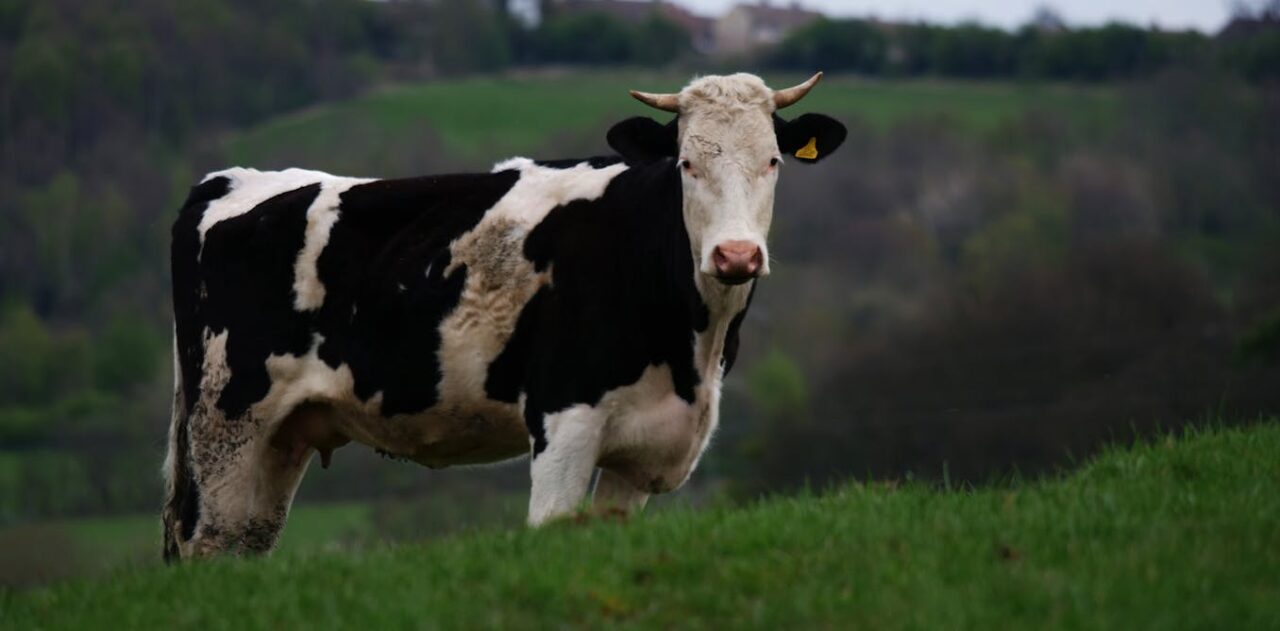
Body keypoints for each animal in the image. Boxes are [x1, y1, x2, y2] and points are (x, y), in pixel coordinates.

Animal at [163, 72, 846, 560]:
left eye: (773, 162)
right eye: (686, 164)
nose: (736, 255)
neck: (690, 352)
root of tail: (228, 181)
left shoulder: (645, 450)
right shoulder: (564, 420)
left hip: (281, 436)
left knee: (247, 544)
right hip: (225, 423)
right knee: (206, 544)